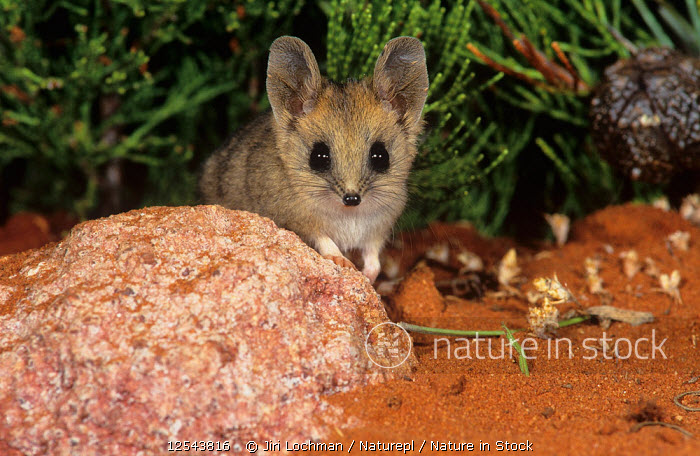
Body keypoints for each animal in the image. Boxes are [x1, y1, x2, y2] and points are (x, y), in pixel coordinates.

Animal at [199, 36, 429, 283]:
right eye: (318, 157)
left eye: (381, 156)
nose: (352, 199)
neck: (349, 215)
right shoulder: (300, 220)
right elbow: (325, 240)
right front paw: (342, 262)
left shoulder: (378, 228)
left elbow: (373, 259)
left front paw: (367, 277)